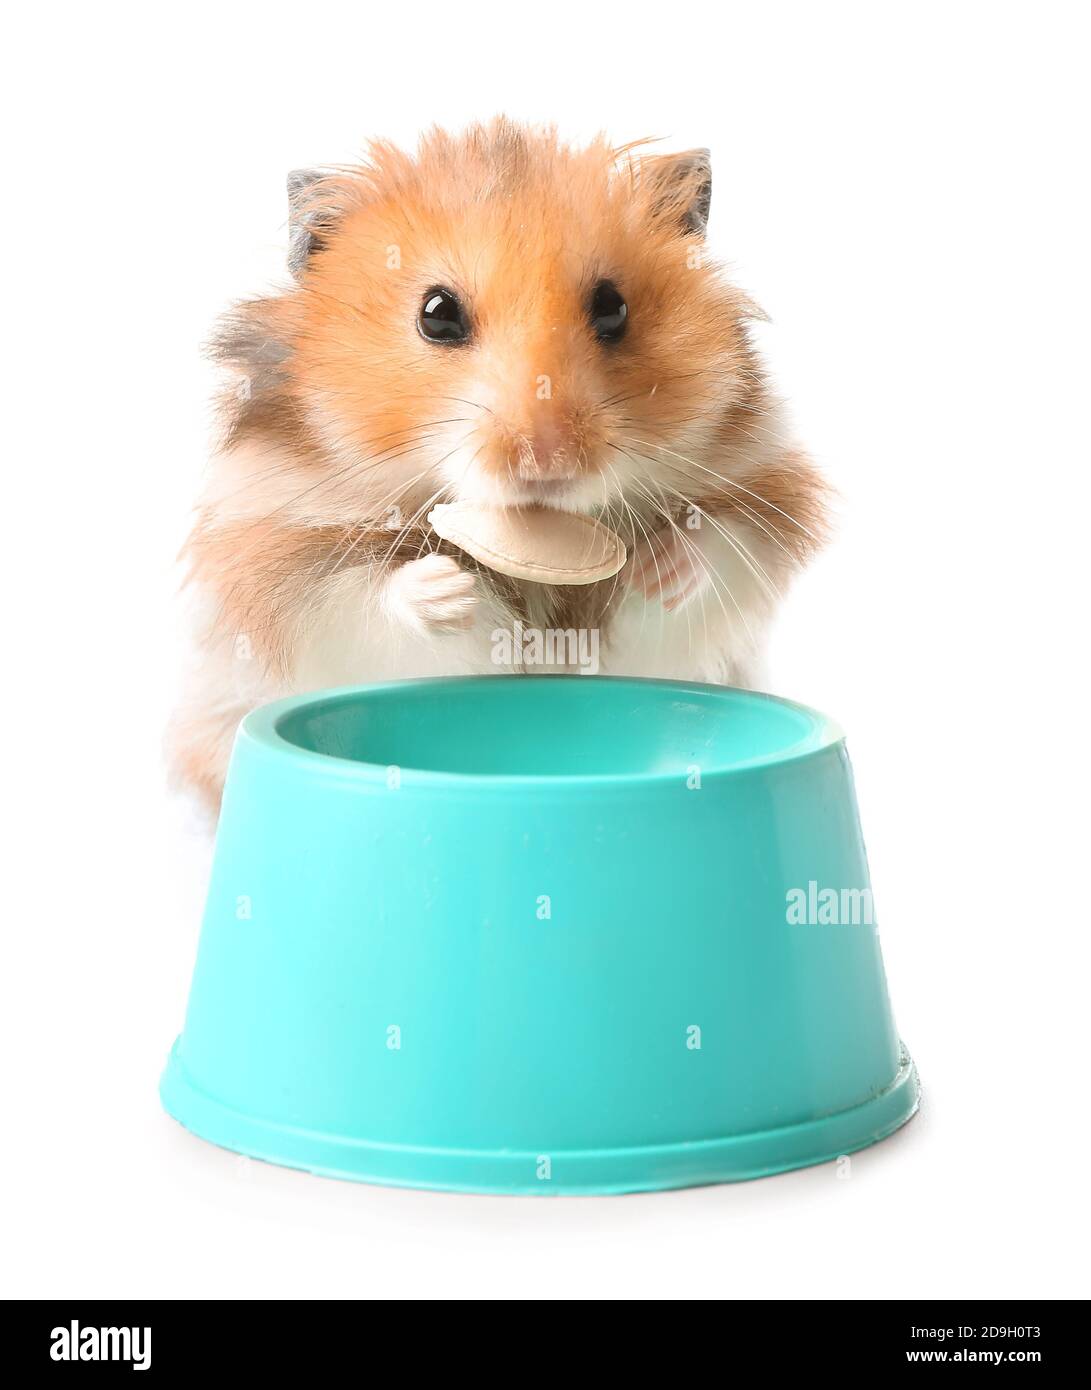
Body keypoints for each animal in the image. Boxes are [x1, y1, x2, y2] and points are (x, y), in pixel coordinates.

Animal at [171, 118, 828, 810]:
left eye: (613, 307)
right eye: (437, 314)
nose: (546, 459)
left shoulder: (760, 493)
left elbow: (720, 547)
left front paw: (659, 566)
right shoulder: (278, 556)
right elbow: (367, 596)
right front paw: (453, 591)